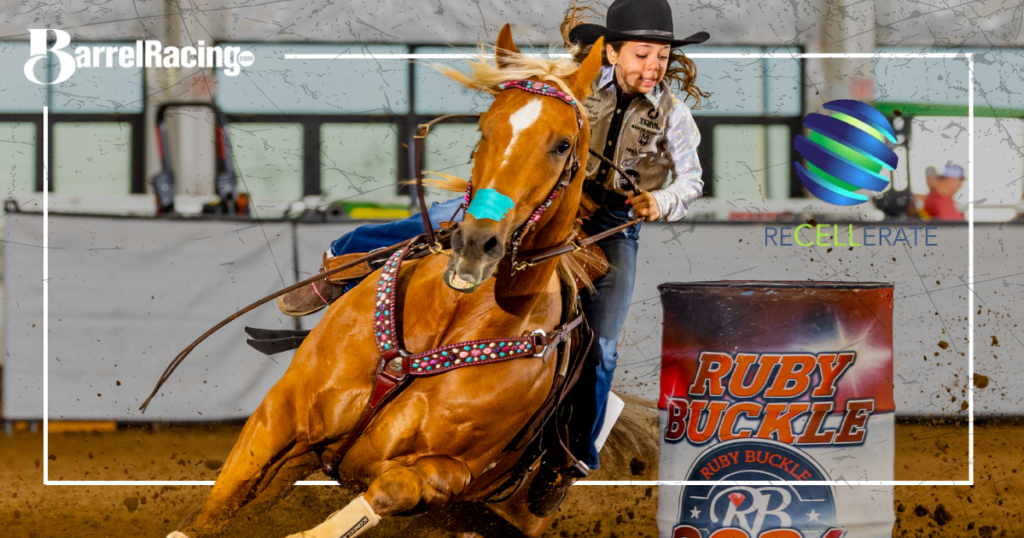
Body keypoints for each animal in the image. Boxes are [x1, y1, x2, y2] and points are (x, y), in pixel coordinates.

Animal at [169, 25, 607, 538]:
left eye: (562, 145)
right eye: (486, 128)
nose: (477, 243)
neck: (443, 325)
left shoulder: (450, 472)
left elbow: (394, 487)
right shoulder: (283, 415)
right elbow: (220, 501)